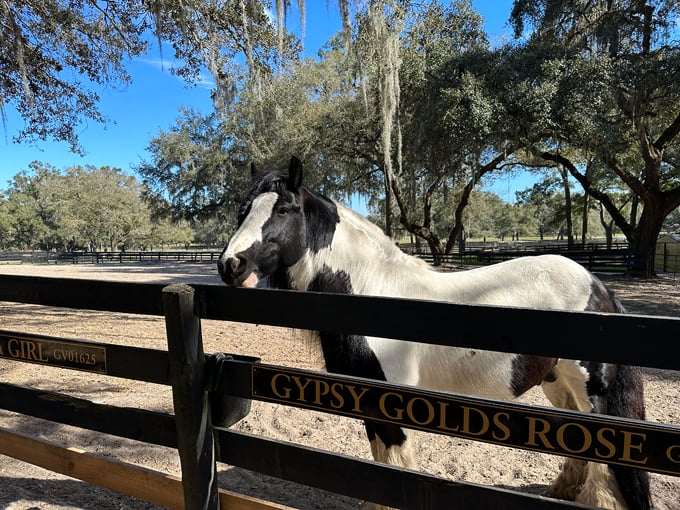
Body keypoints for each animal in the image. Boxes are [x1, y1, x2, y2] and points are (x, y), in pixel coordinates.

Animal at [217, 156, 650, 510]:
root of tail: (598, 286)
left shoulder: (391, 403)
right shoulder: (367, 403)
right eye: (243, 211)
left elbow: (393, 469)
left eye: (284, 209)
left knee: (604, 466)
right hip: (556, 382)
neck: (374, 296)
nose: (230, 265)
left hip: (593, 392)